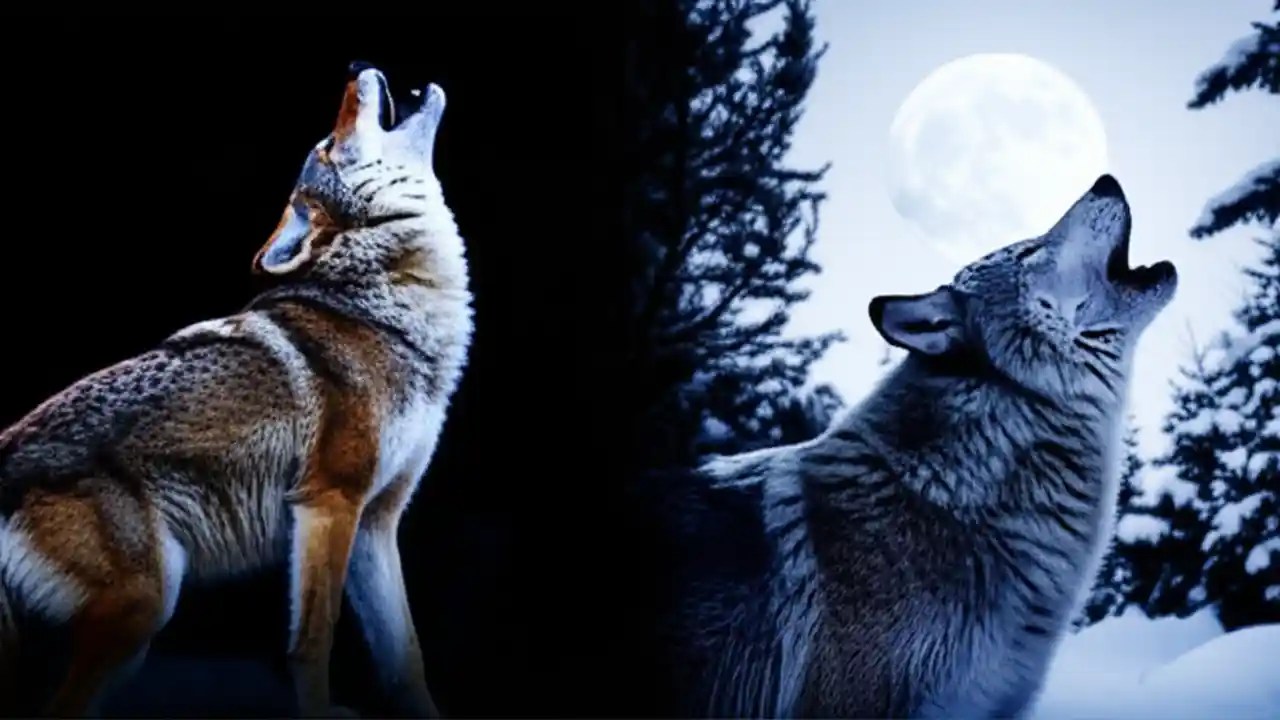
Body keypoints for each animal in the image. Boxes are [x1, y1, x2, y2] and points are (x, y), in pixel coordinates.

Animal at [0, 63, 470, 718]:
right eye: (328, 144)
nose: (356, 68)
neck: (383, 310)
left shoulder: (376, 521)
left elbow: (405, 661)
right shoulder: (328, 502)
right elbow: (314, 642)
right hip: (143, 609)